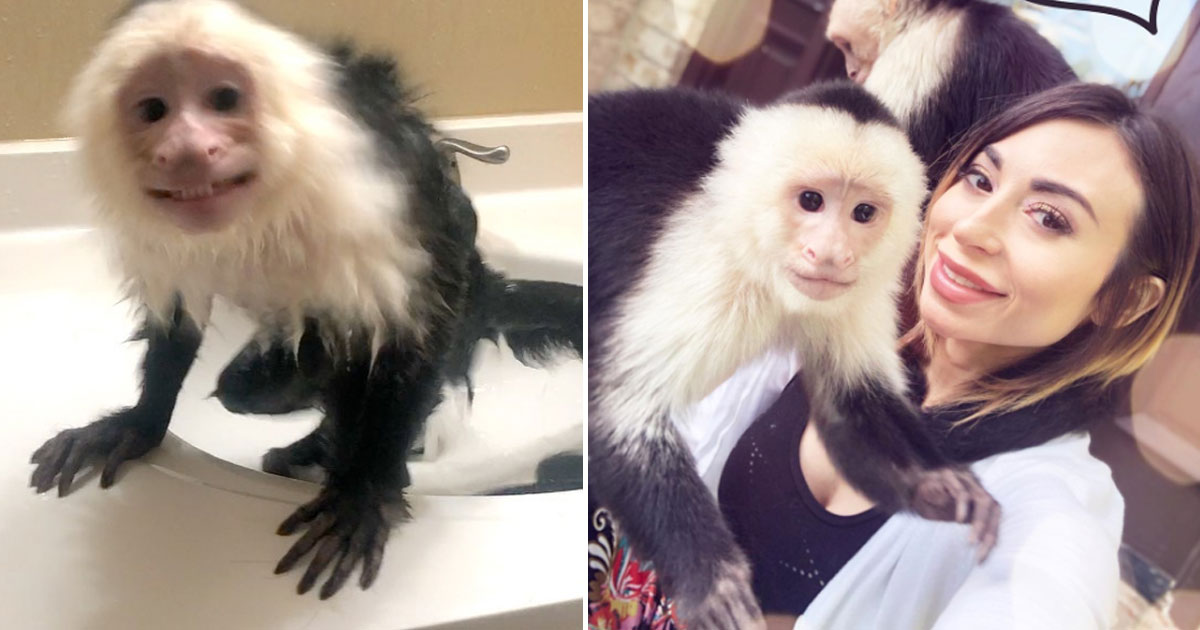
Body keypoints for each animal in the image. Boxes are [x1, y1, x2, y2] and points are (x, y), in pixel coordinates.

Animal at [27, 0, 580, 599]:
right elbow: (177, 307)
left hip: (462, 291)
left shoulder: (368, 184)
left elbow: (411, 322)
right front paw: (141, 421)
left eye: (223, 100)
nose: (186, 150)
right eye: (154, 110)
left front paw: (363, 490)